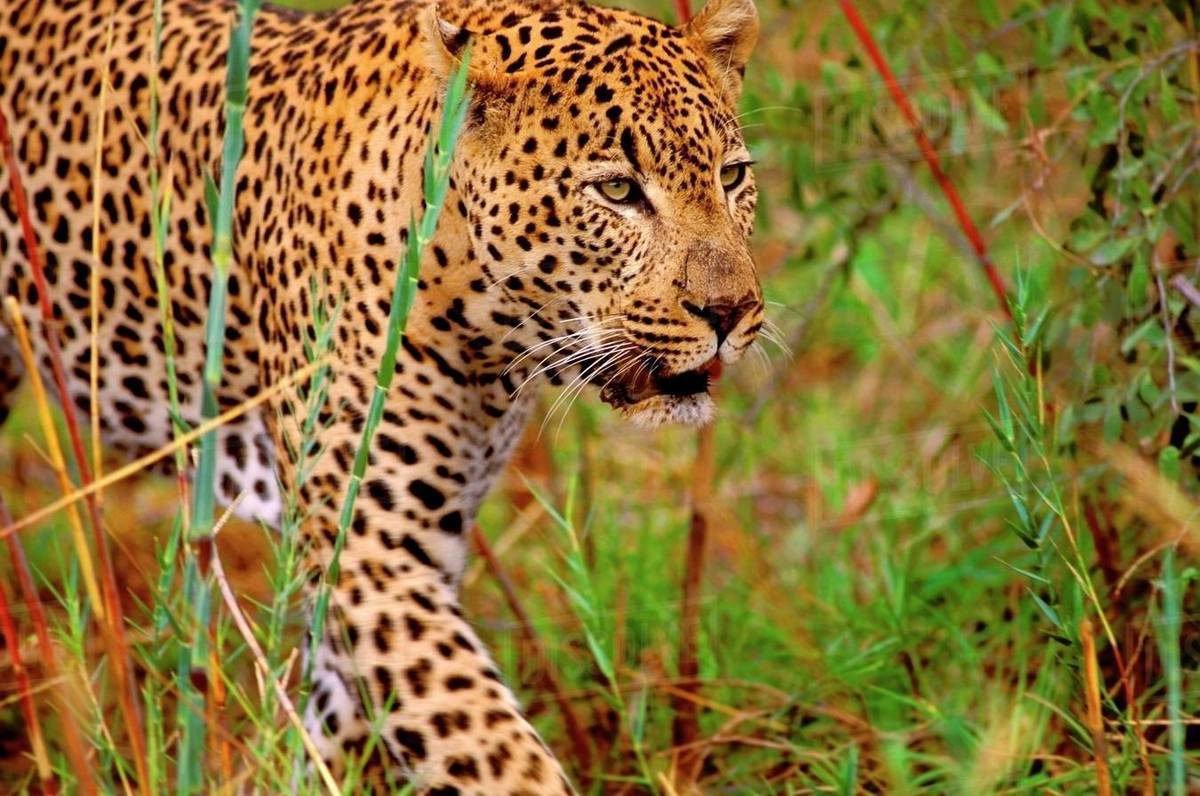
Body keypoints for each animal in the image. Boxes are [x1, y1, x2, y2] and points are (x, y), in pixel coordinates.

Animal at [0, 0, 762, 791]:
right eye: (617, 191)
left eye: (732, 175)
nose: (732, 311)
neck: (491, 335)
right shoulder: (371, 556)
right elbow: (501, 756)